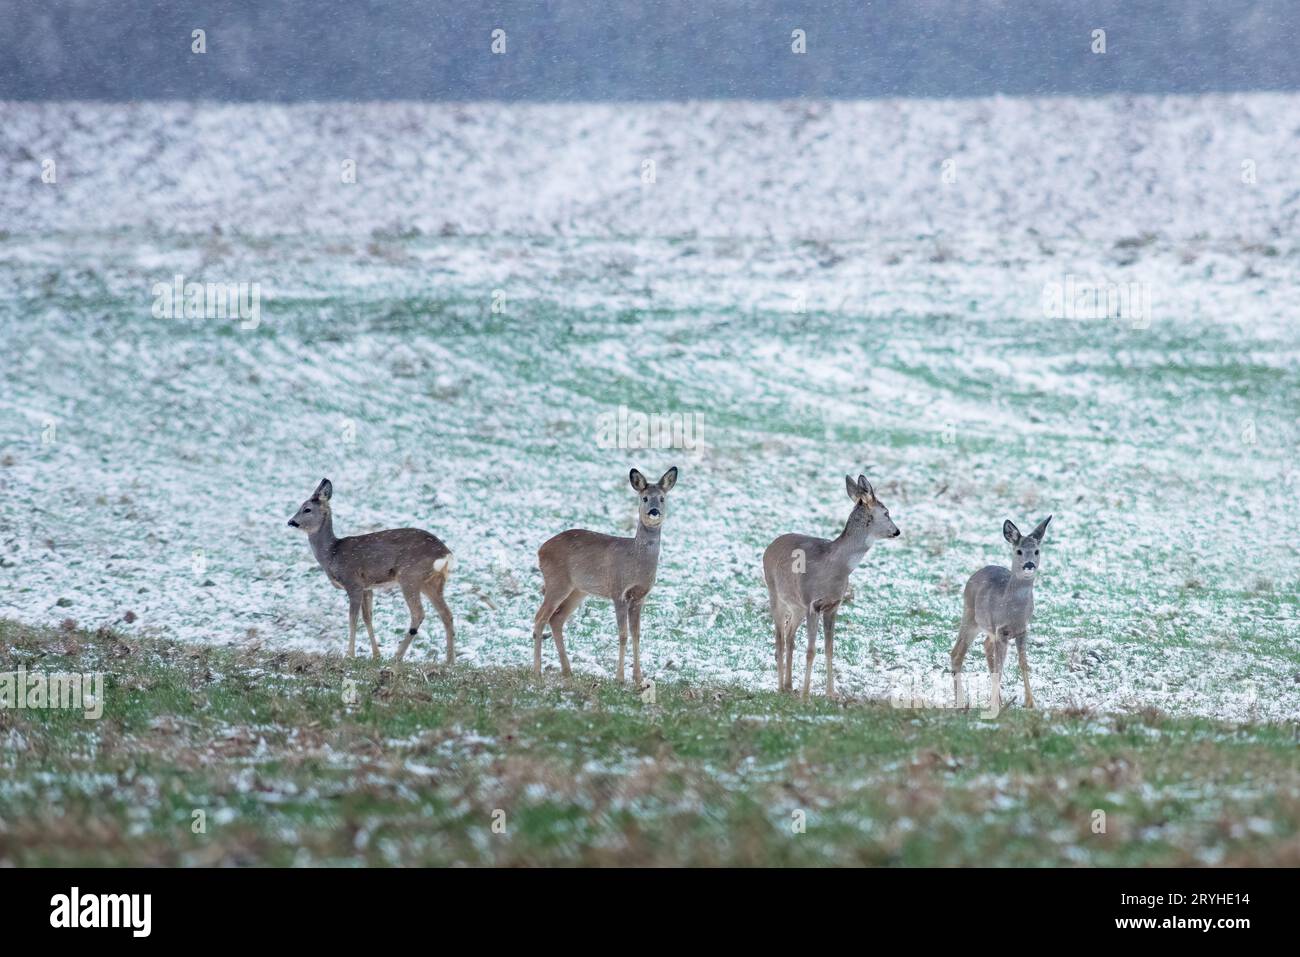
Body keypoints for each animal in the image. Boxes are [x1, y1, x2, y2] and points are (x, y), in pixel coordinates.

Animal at [287, 478, 455, 664]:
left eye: (307, 509)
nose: (291, 522)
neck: (332, 554)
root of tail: (445, 553)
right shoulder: (368, 587)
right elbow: (368, 617)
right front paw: (376, 655)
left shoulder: (353, 582)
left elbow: (353, 618)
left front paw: (350, 655)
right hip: (432, 582)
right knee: (446, 614)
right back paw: (449, 662)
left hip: (409, 575)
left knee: (419, 613)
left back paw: (397, 656)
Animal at [532, 466, 678, 686]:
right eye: (644, 498)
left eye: (661, 498)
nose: (654, 511)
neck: (636, 561)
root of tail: (541, 550)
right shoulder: (618, 591)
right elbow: (623, 634)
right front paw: (619, 678)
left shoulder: (640, 597)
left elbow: (636, 634)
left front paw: (638, 678)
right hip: (557, 581)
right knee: (540, 617)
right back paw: (537, 672)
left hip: (577, 590)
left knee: (556, 619)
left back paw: (567, 671)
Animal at [762, 474, 901, 699]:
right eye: (886, 512)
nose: (897, 531)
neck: (834, 567)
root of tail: (769, 546)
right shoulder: (812, 603)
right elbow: (811, 650)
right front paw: (806, 696)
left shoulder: (833, 606)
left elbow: (829, 649)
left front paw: (831, 694)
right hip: (774, 592)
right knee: (779, 636)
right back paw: (781, 687)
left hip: (796, 605)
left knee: (790, 634)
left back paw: (789, 685)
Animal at [949, 516, 1052, 714]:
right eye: (1019, 551)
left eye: (1036, 551)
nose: (1029, 565)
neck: (1012, 610)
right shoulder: (1001, 631)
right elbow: (1000, 667)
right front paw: (995, 705)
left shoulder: (1022, 630)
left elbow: (1022, 663)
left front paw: (1030, 703)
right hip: (970, 615)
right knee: (957, 653)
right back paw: (960, 703)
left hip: (988, 629)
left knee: (985, 646)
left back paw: (1000, 700)